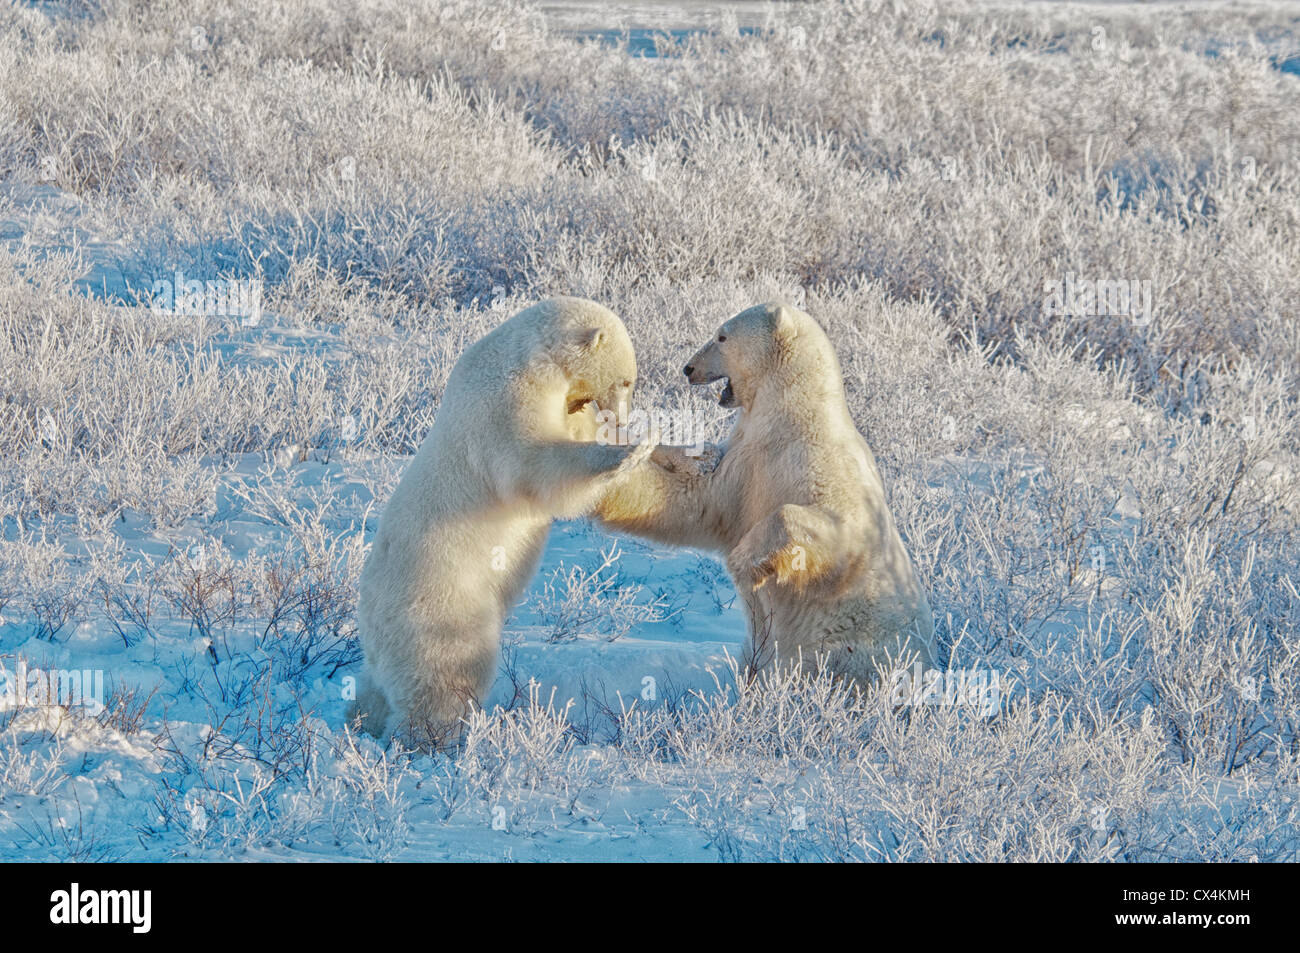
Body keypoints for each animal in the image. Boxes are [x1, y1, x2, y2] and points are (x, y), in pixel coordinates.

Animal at [350, 297, 652, 746]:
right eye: (627, 381)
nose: (622, 418)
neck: (529, 354)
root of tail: (371, 626)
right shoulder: (505, 399)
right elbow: (534, 461)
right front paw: (630, 450)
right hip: (442, 604)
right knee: (448, 673)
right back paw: (439, 739)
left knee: (374, 690)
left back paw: (362, 719)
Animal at [595, 301, 936, 688]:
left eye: (722, 336)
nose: (689, 368)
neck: (791, 416)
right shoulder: (745, 465)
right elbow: (697, 503)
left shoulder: (822, 470)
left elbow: (830, 526)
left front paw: (745, 560)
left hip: (848, 655)